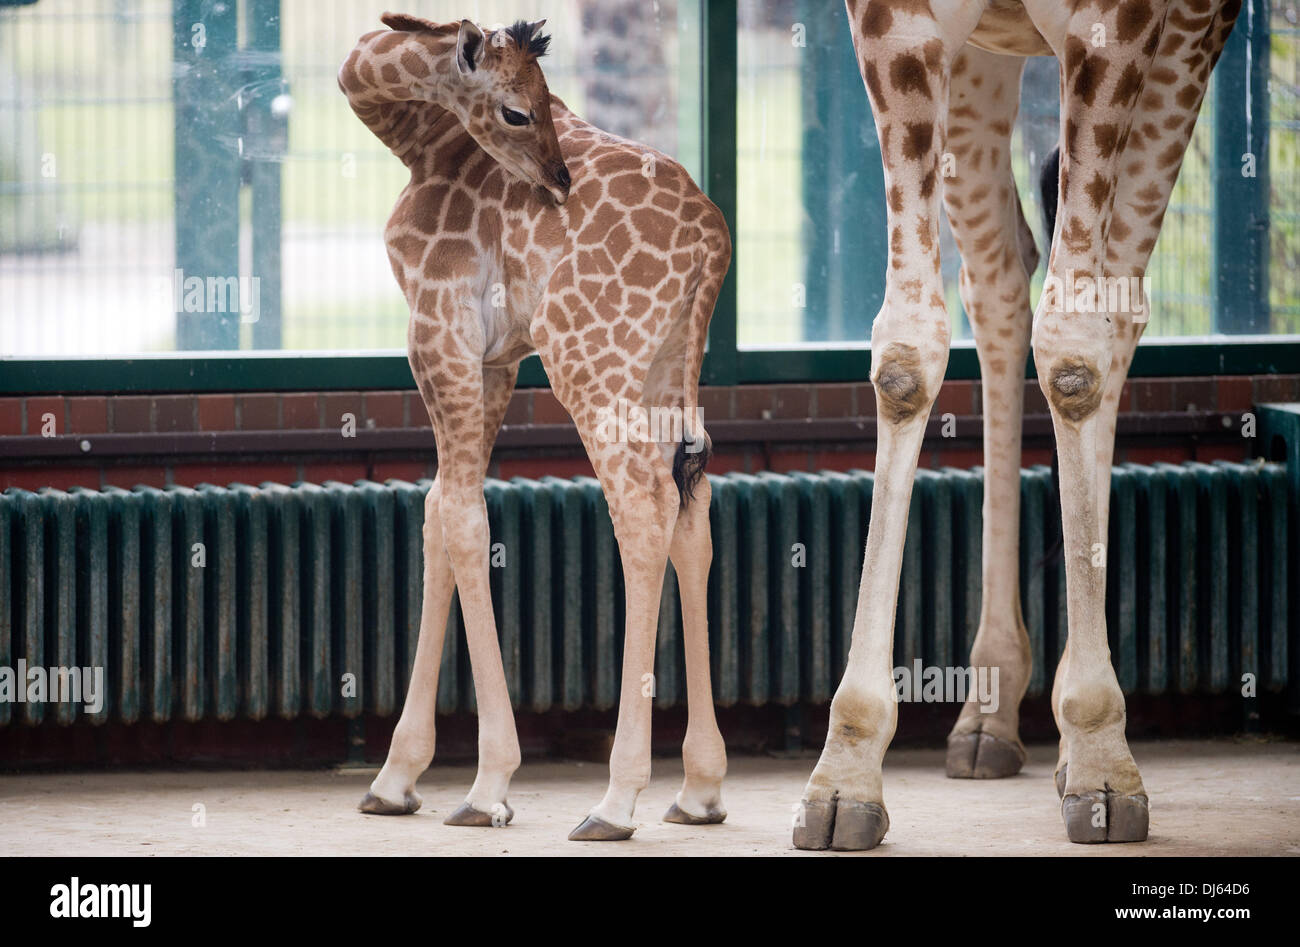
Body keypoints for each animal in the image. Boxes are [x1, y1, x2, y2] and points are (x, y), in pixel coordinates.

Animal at [338, 14, 732, 841]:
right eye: (522, 108)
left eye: (543, 104)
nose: (557, 180)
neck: (415, 138)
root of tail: (714, 244)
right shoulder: (496, 360)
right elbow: (437, 509)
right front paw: (397, 776)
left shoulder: (440, 331)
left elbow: (462, 518)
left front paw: (488, 782)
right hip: (668, 364)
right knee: (693, 504)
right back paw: (700, 787)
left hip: (587, 355)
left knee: (643, 508)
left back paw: (616, 800)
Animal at [794, 0, 1241, 850]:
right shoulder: (895, 23)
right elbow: (905, 351)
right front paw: (843, 775)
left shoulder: (1130, 23)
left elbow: (1074, 350)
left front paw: (1101, 760)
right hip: (983, 62)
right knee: (1001, 276)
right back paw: (988, 710)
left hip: (1189, 44)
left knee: (1115, 300)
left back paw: (1070, 729)